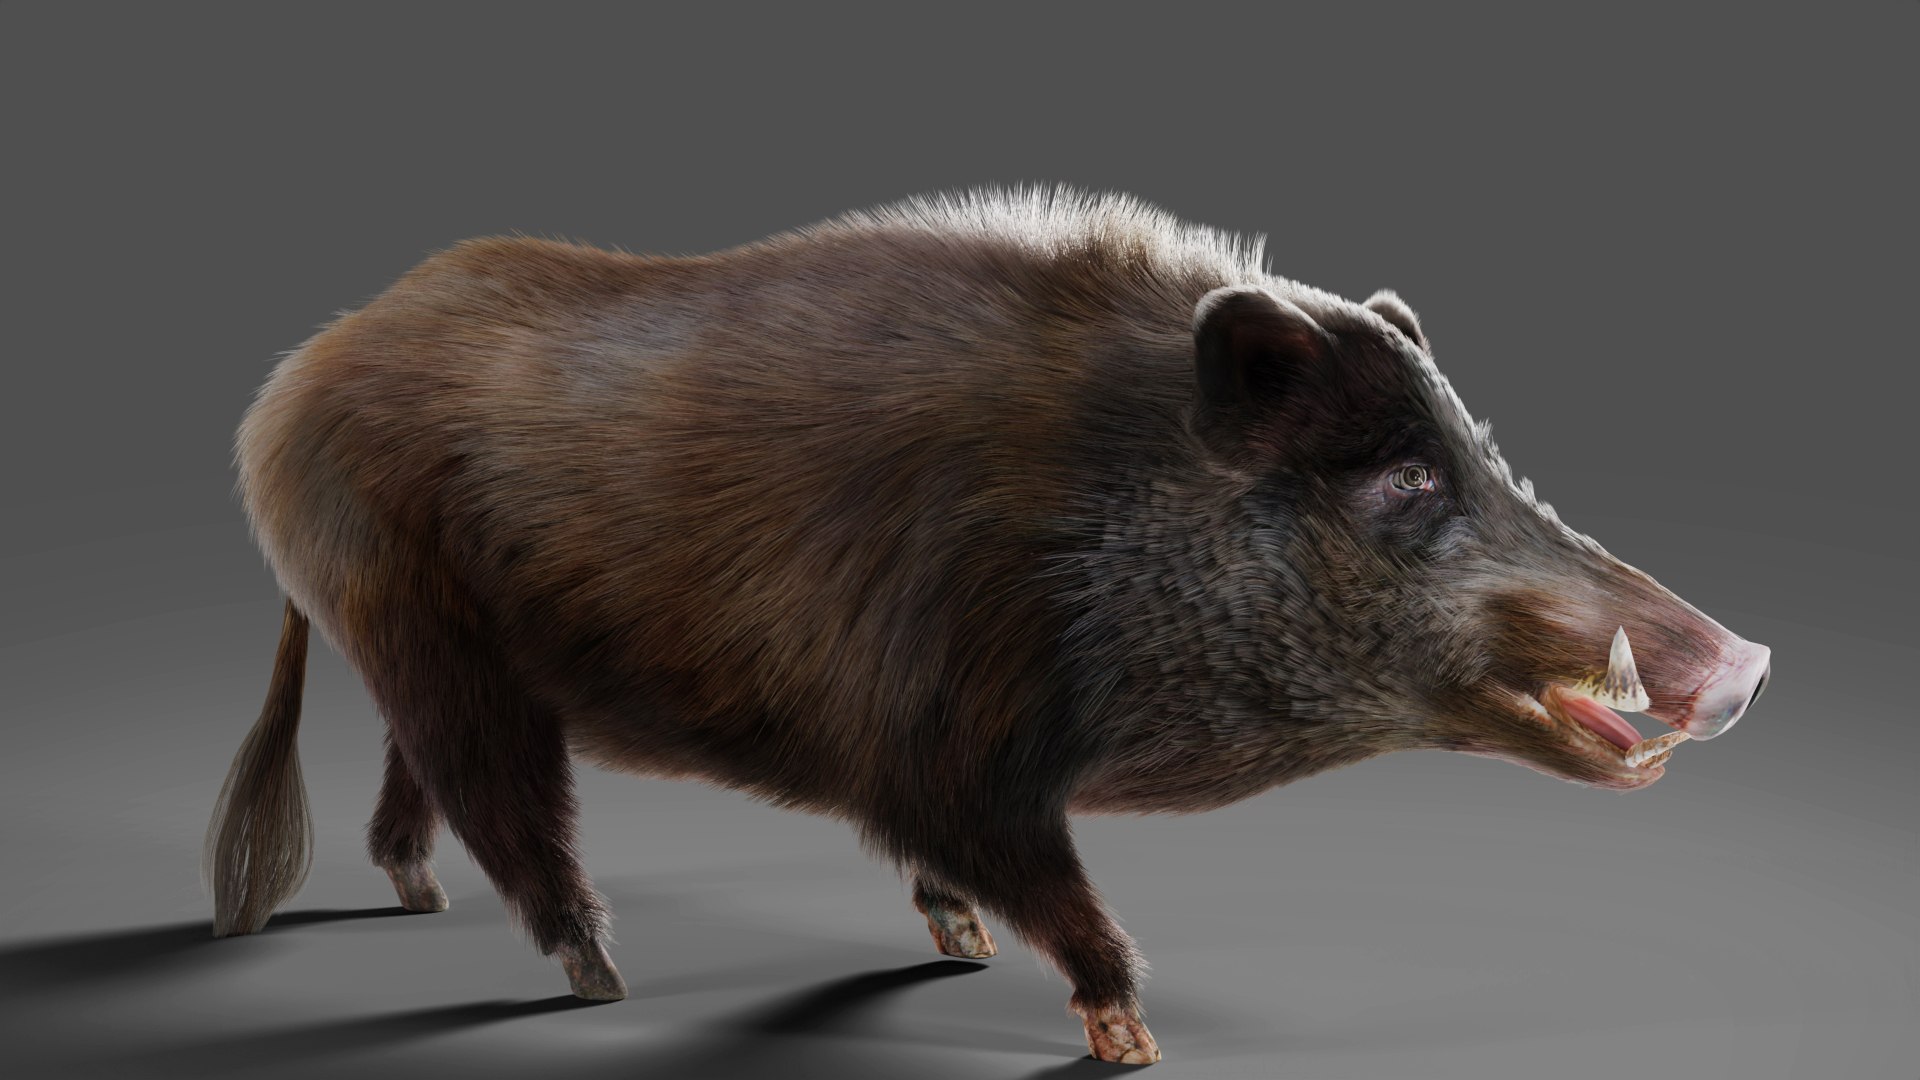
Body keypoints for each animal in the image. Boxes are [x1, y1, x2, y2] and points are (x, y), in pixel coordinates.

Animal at [205, 186, 1772, 1065]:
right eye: (1401, 478)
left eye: (1480, 453)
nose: (1748, 658)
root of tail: (288, 386)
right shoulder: (939, 741)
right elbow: (1031, 874)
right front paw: (1130, 1042)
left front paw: (955, 943)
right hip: (429, 633)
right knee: (506, 807)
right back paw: (598, 978)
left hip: (428, 648)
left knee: (417, 785)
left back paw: (420, 899)